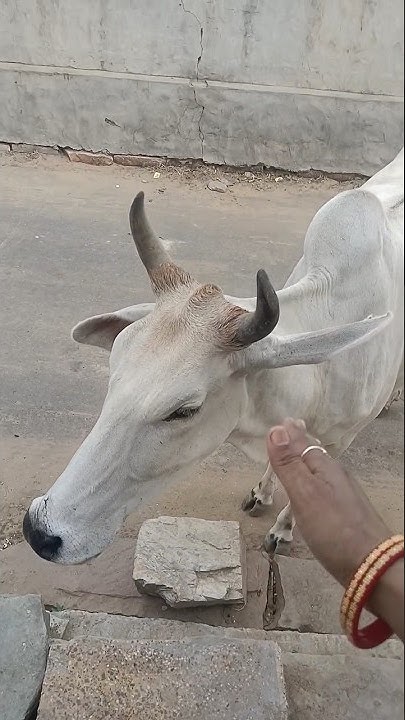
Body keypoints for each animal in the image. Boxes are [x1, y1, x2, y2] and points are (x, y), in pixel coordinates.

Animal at [23, 149, 404, 564]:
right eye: (114, 371)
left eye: (184, 411)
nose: (40, 532)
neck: (317, 379)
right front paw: (262, 493)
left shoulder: (340, 443)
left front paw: (283, 529)